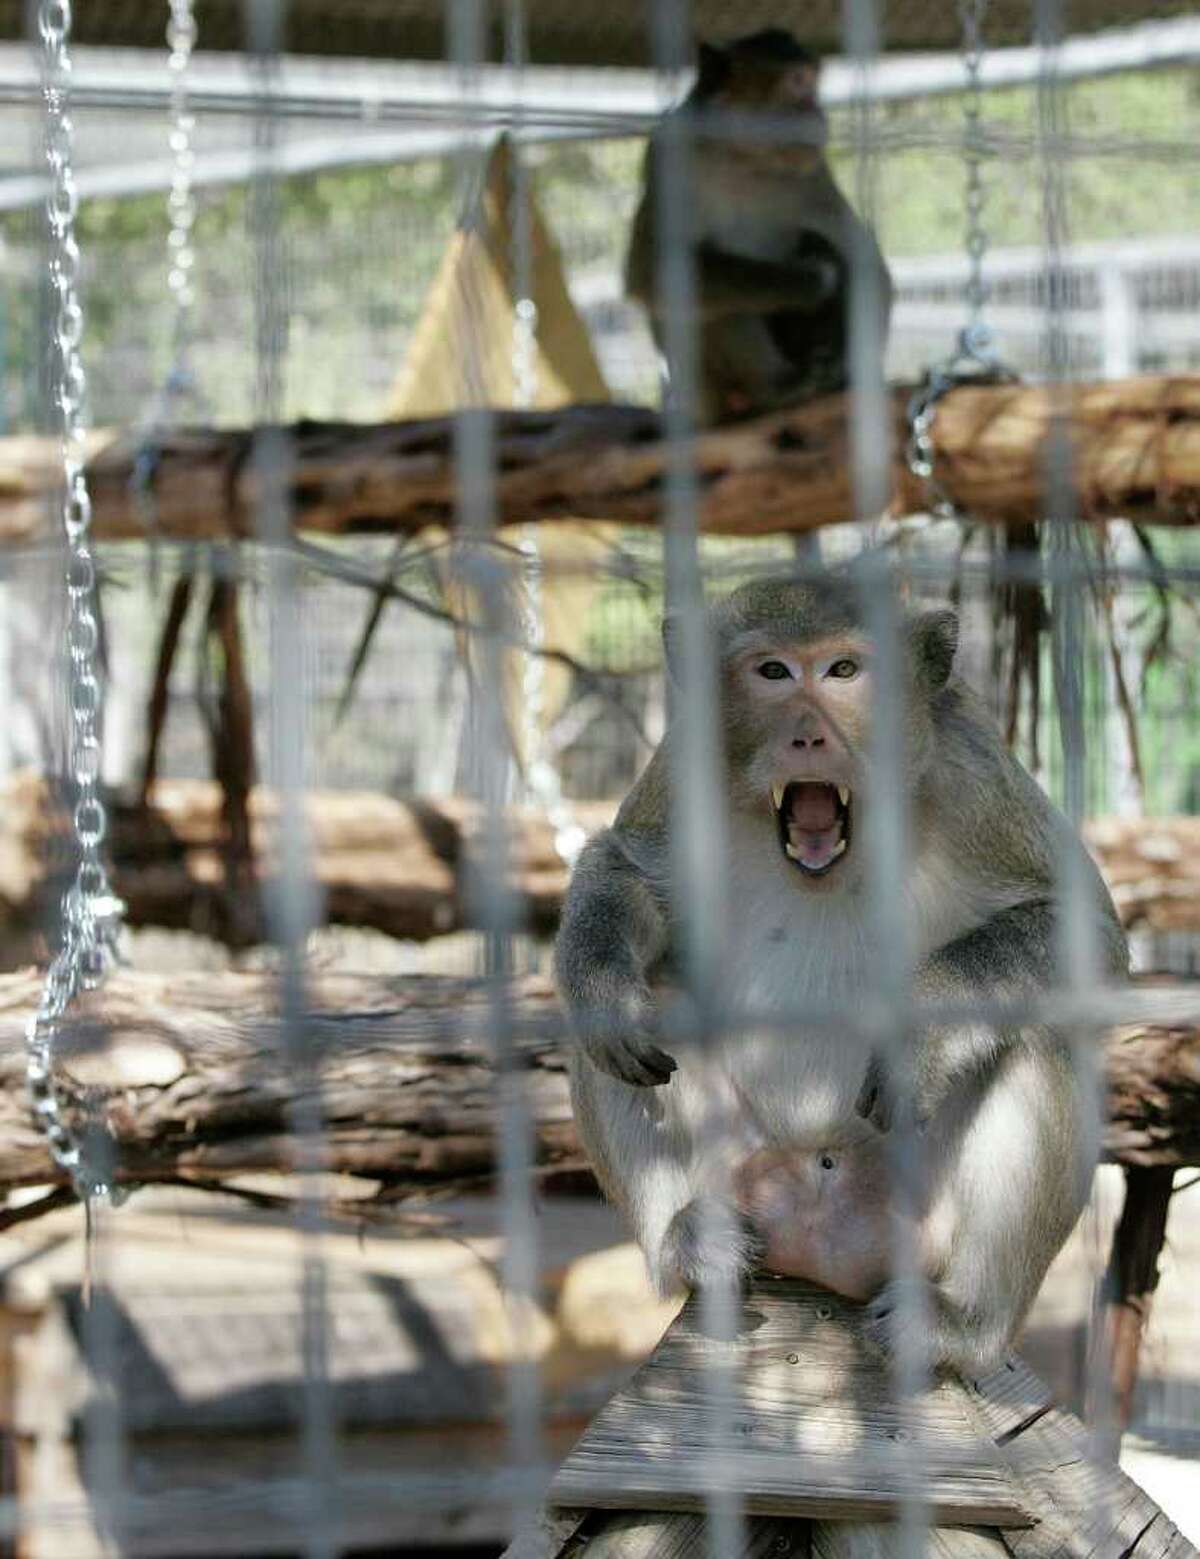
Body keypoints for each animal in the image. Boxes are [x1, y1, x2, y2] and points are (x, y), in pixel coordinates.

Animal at [554, 573, 1127, 1374]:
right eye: (772, 672)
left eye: (843, 671)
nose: (808, 733)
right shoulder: (685, 758)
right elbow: (626, 868)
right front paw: (604, 978)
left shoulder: (973, 769)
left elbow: (1083, 929)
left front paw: (921, 1034)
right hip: (743, 1168)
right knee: (632, 1022)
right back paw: (686, 1240)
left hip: (919, 1217)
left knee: (1039, 1038)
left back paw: (966, 1320)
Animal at [624, 30, 893, 427]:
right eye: (797, 82)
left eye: (813, 82)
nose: (816, 113)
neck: (741, 158)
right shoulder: (668, 156)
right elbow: (654, 272)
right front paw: (815, 280)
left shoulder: (814, 174)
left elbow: (869, 267)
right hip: (706, 394)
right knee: (715, 298)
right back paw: (779, 387)